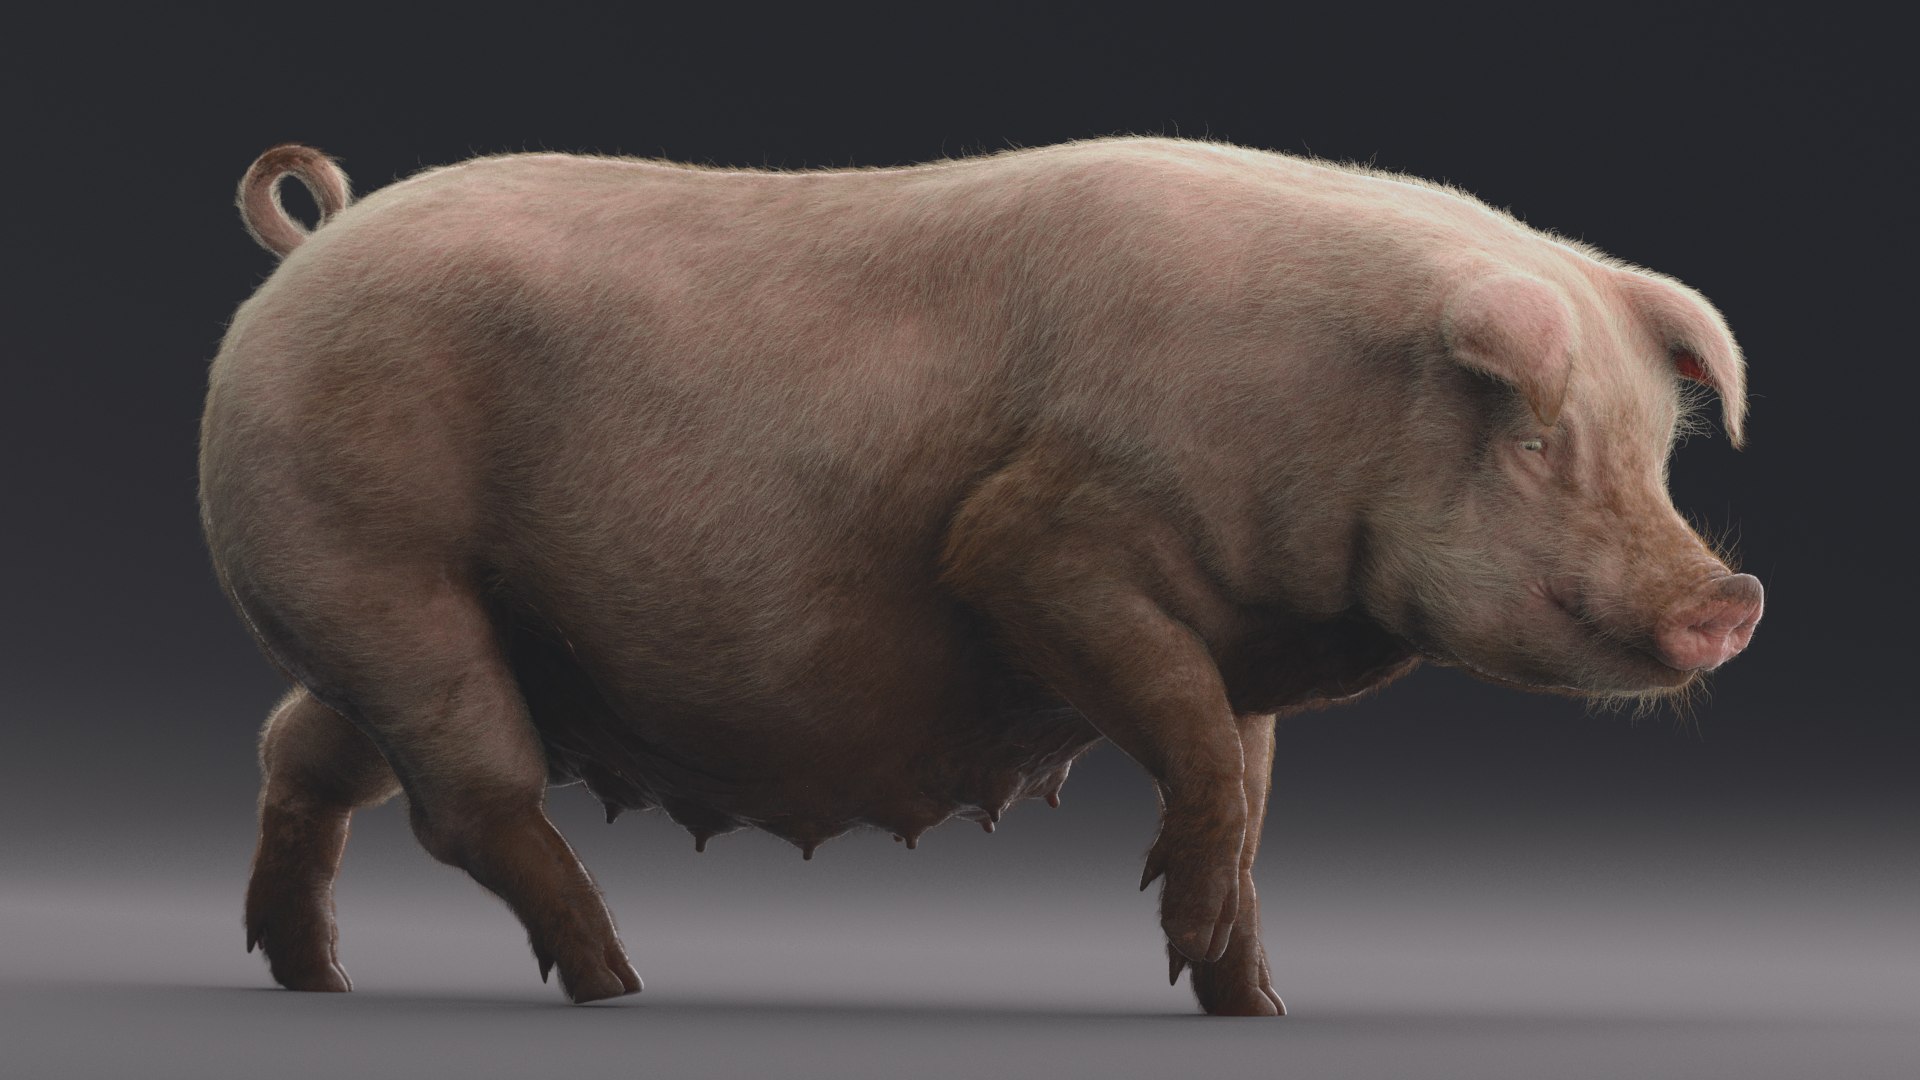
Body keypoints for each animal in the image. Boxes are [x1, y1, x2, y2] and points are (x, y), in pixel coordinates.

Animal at [201, 136, 1762, 1014]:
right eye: (1541, 442)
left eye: (1658, 451)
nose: (1730, 601)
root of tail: (311, 246)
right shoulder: (1035, 542)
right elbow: (1186, 735)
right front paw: (1212, 960)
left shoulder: (1230, 635)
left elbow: (1238, 781)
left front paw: (1250, 1001)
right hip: (381, 563)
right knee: (467, 800)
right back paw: (613, 984)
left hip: (393, 616)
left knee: (305, 749)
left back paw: (314, 975)